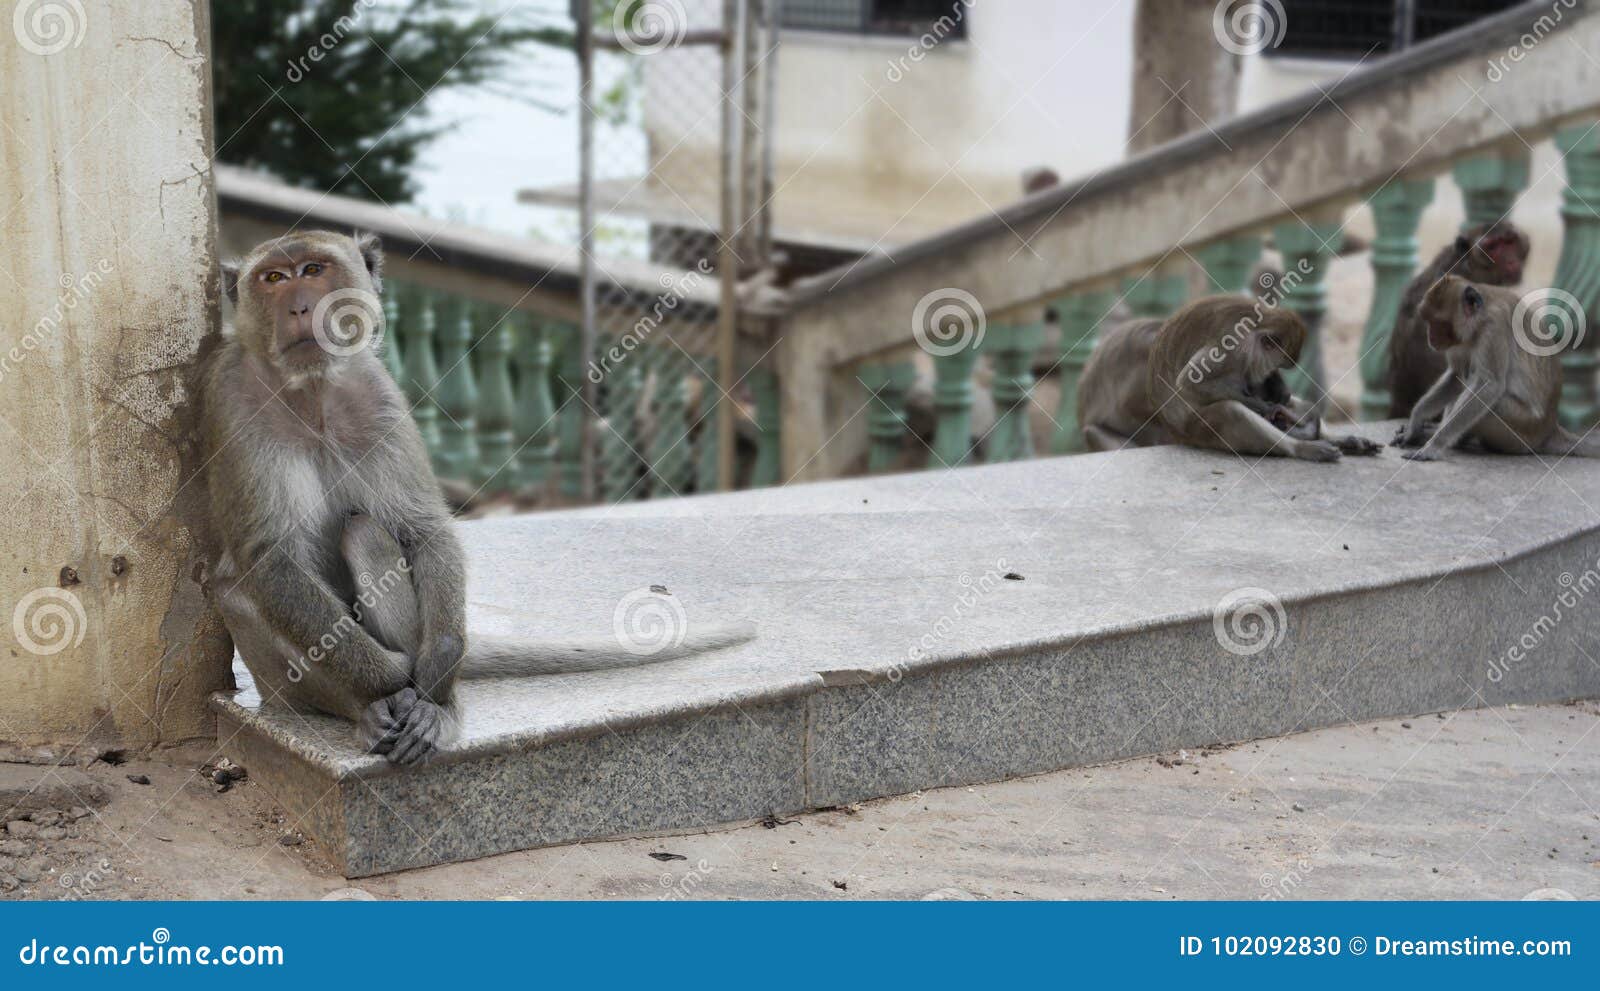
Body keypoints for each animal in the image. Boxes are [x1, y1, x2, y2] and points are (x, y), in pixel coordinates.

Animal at [201, 231, 754, 766]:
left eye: (314, 270)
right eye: (273, 278)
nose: (298, 307)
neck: (312, 392)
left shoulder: (381, 398)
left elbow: (423, 527)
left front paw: (437, 671)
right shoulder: (232, 399)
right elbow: (269, 559)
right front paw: (384, 684)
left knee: (366, 532)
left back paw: (435, 705)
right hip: (282, 689)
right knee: (240, 591)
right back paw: (372, 707)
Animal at [1147, 296, 1382, 462]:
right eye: (1276, 366)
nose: (1273, 380)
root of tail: (1177, 435)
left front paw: (1280, 397)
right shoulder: (1230, 349)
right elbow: (1188, 383)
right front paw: (1266, 407)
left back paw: (1334, 439)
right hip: (1197, 431)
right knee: (1229, 411)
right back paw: (1299, 448)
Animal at [1391, 275, 1600, 461]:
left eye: (1439, 323)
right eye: (1427, 321)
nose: (1431, 337)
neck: (1478, 323)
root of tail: (1549, 429)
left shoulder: (1494, 328)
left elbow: (1488, 387)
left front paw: (1433, 446)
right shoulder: (1459, 342)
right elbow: (1456, 377)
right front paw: (1415, 423)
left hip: (1522, 431)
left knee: (1487, 396)